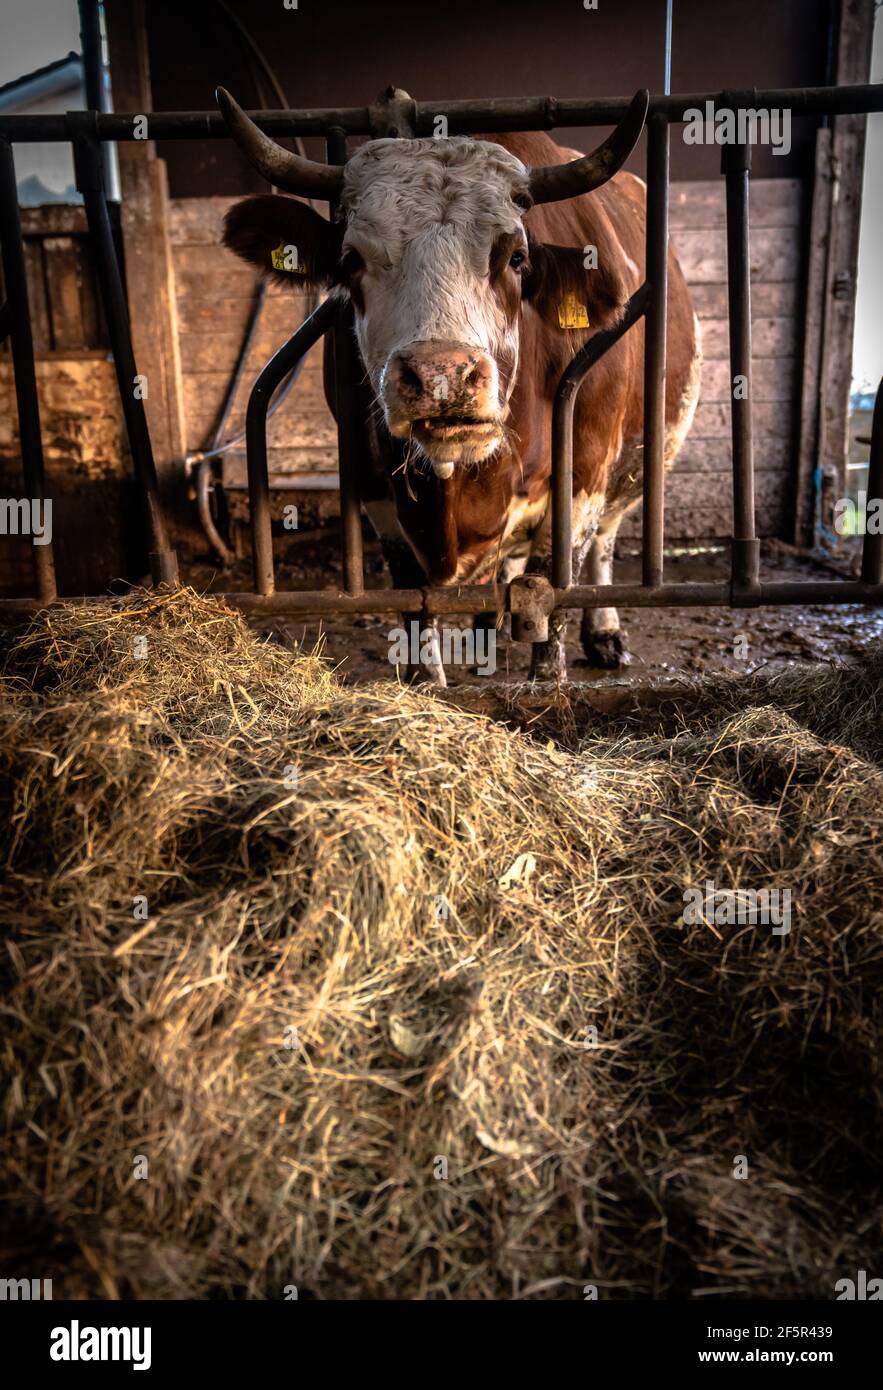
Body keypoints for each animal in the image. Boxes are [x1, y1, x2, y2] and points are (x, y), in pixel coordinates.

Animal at [217, 87, 701, 683]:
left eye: (516, 257)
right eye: (351, 259)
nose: (441, 376)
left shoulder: (586, 470)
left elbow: (554, 582)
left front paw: (549, 676)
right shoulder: (375, 486)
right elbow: (412, 598)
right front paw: (425, 681)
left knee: (604, 544)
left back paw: (604, 632)